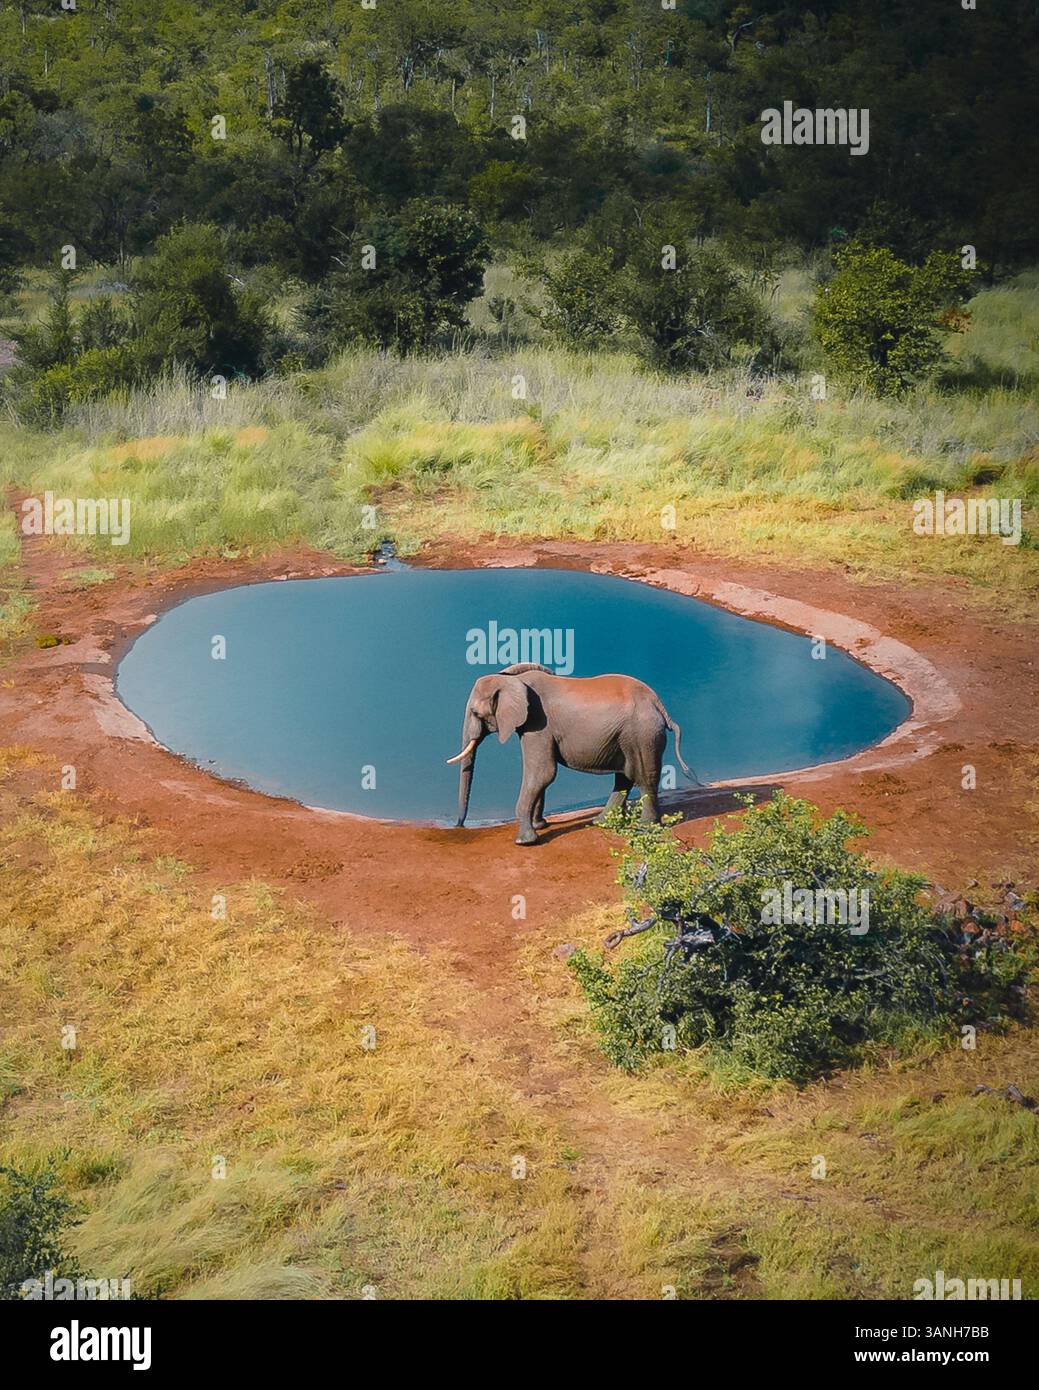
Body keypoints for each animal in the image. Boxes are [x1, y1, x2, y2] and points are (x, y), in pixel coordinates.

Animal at [447, 662, 695, 845]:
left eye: (475, 713)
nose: (458, 825)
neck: (513, 679)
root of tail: (659, 705)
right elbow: (543, 776)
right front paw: (540, 825)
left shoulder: (538, 725)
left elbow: (542, 773)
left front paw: (525, 841)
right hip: (627, 737)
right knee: (624, 777)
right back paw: (602, 823)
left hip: (642, 734)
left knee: (643, 779)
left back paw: (645, 829)